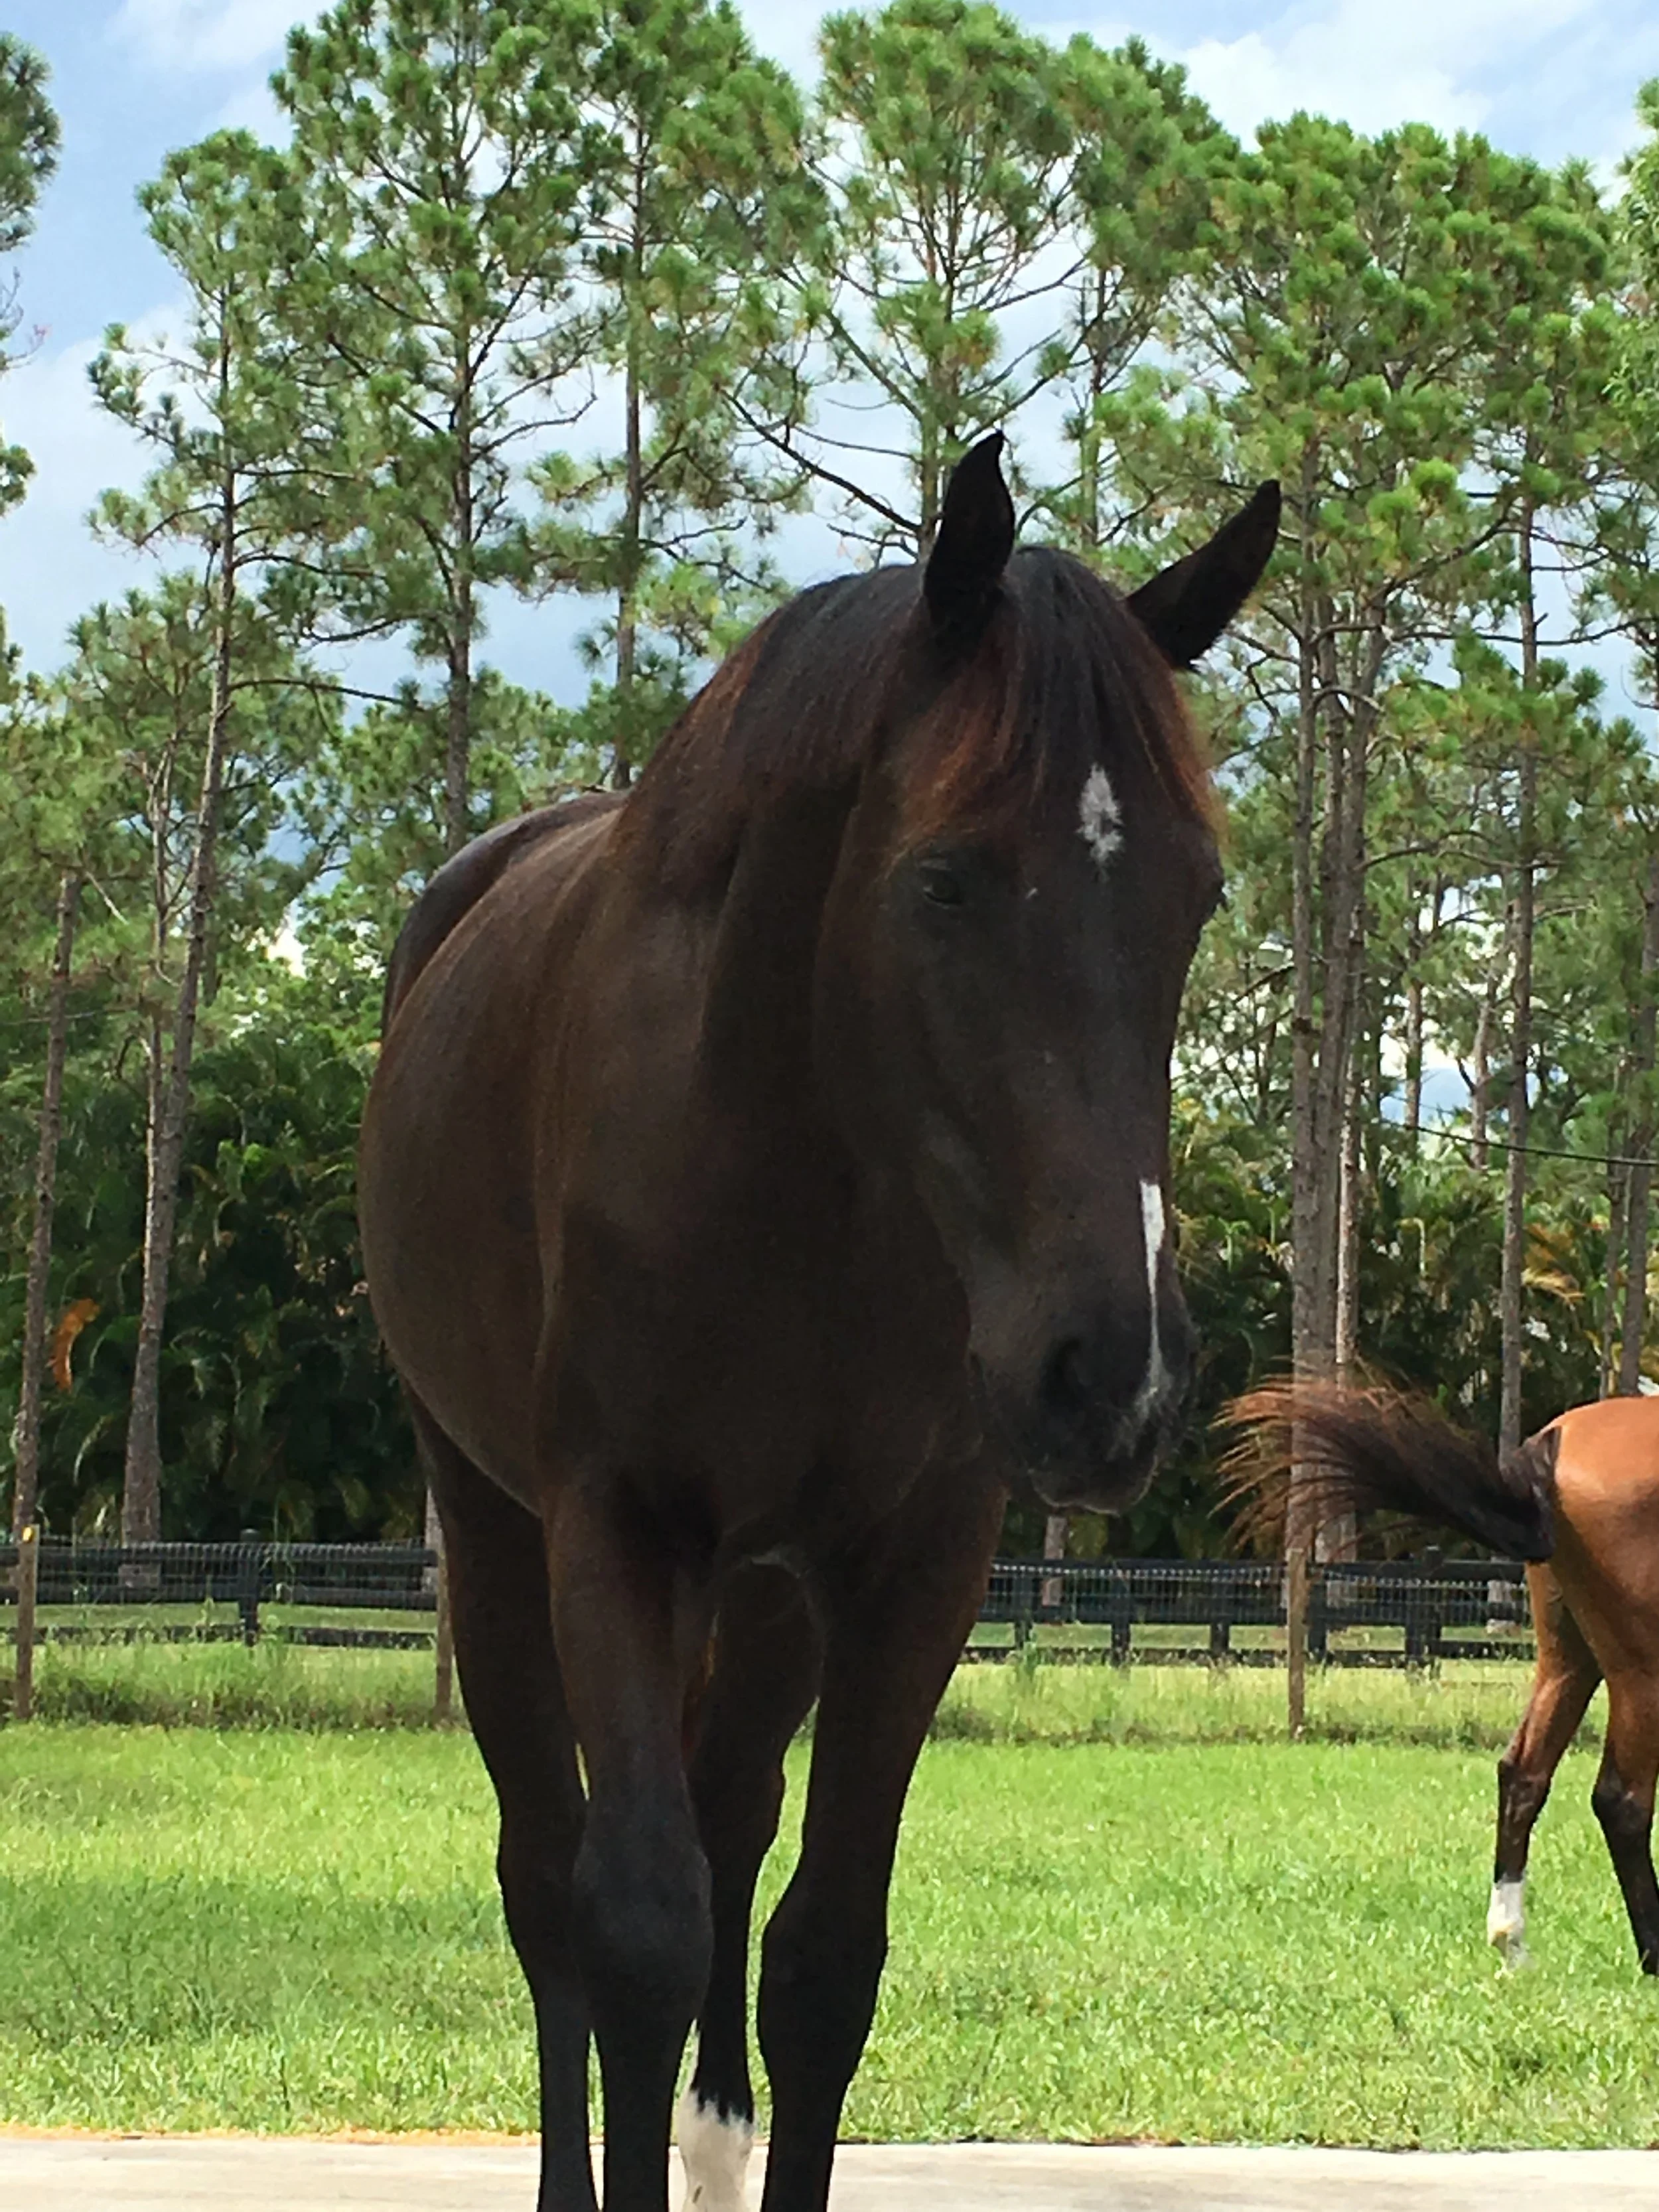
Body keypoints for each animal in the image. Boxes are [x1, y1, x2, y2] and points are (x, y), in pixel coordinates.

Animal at [359, 435, 1279, 2212]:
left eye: (1197, 896)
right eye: (943, 879)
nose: (1111, 1380)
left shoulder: (909, 1565)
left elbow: (822, 1958)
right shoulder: (617, 1530)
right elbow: (636, 1927)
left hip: (772, 1588)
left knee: (732, 1818)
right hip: (493, 1530)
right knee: (549, 1875)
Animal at [1233, 1380, 1659, 1976]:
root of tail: (1557, 1438)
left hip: (1569, 1661)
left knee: (1524, 1774)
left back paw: (1511, 1941)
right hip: (1639, 1673)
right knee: (1622, 1802)